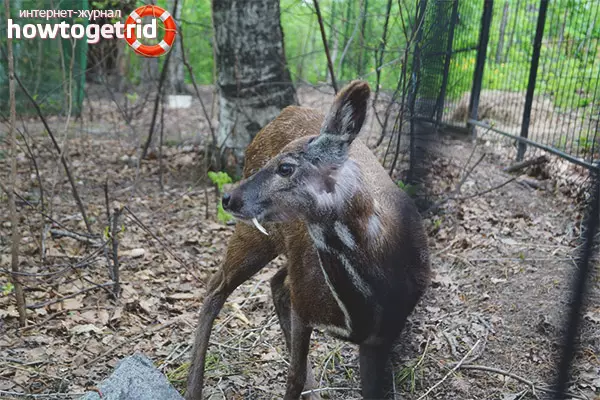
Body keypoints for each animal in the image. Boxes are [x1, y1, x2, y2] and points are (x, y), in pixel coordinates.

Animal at [185, 81, 428, 400]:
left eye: (286, 167)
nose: (228, 197)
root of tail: (283, 113)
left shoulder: (384, 335)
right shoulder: (304, 303)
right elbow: (294, 377)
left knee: (275, 282)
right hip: (258, 234)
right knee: (217, 288)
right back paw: (193, 389)